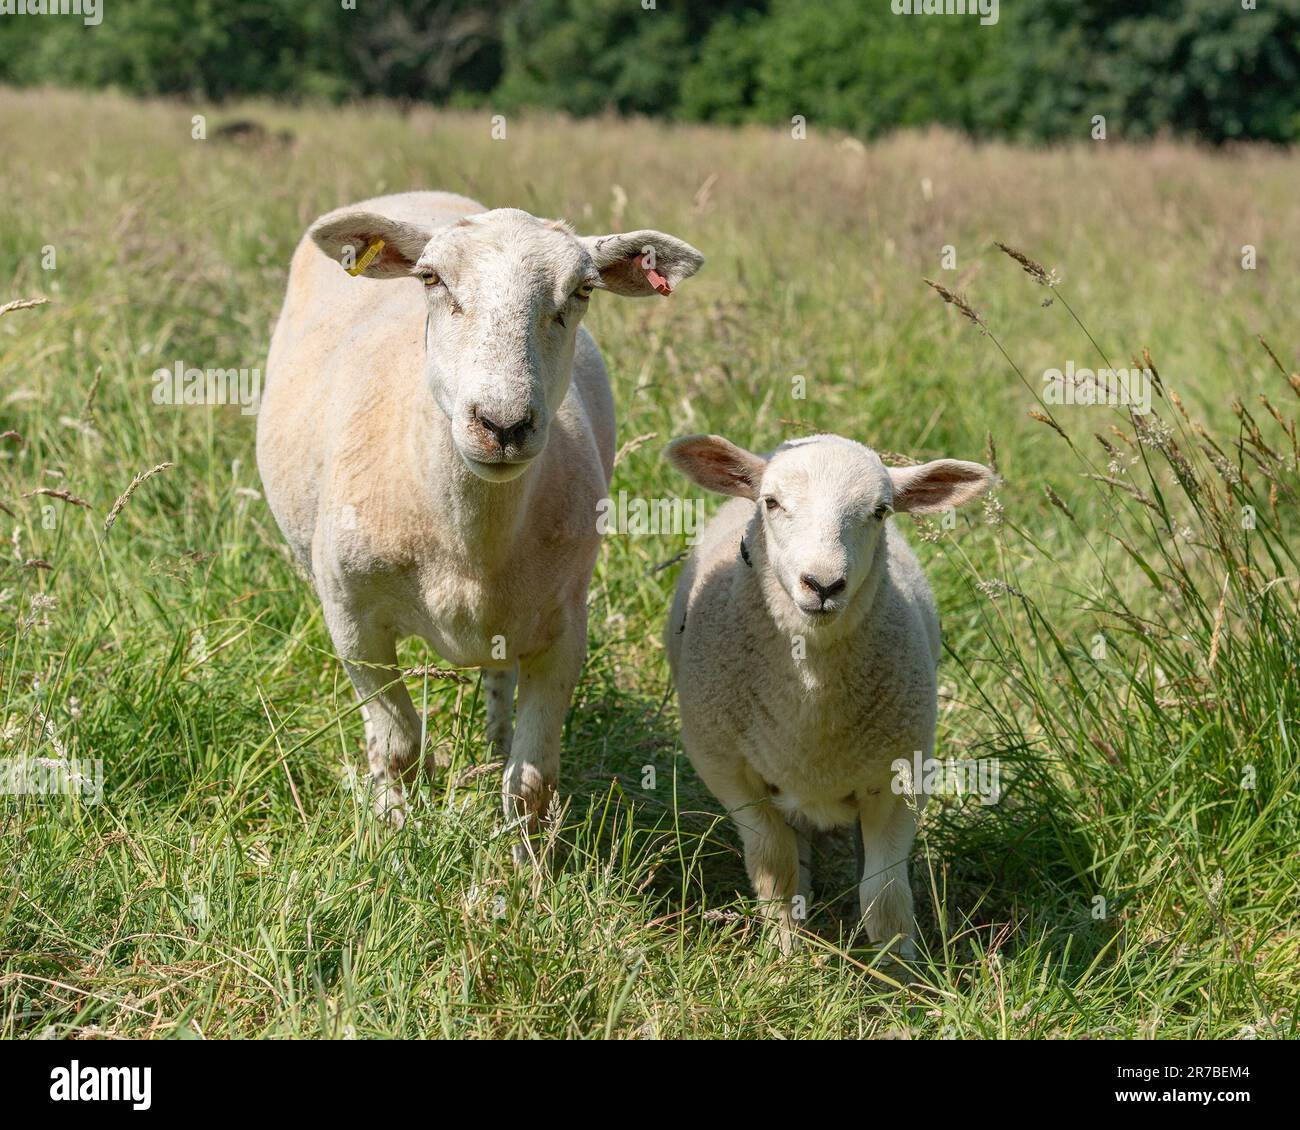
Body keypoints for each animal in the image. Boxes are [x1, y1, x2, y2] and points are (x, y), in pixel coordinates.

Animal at [257, 191, 702, 848]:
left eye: (582, 290)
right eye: (431, 279)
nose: (503, 424)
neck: (468, 543)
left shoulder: (565, 629)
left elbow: (533, 780)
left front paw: (528, 867)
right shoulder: (352, 620)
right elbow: (398, 745)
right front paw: (396, 841)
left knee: (498, 680)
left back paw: (493, 750)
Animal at [663, 432, 995, 955]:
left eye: (880, 511)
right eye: (771, 502)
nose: (823, 584)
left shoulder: (902, 775)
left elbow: (884, 894)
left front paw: (897, 970)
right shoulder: (725, 768)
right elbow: (775, 867)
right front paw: (784, 954)